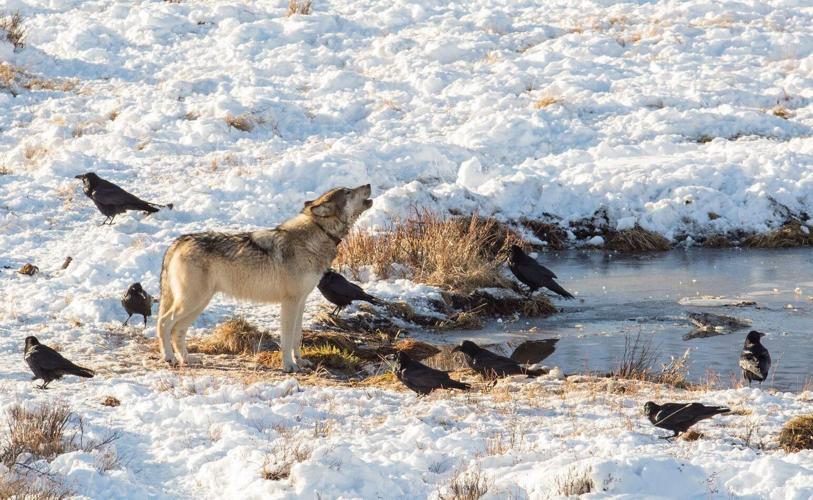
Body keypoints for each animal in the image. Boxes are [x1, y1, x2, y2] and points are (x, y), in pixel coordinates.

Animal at [157, 184, 372, 372]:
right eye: (348, 191)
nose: (368, 184)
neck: (317, 235)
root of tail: (179, 241)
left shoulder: (301, 301)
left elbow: (297, 337)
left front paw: (300, 361)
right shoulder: (290, 302)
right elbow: (286, 339)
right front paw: (289, 366)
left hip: (199, 303)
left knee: (178, 330)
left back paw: (187, 359)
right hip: (192, 302)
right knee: (164, 323)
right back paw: (169, 358)